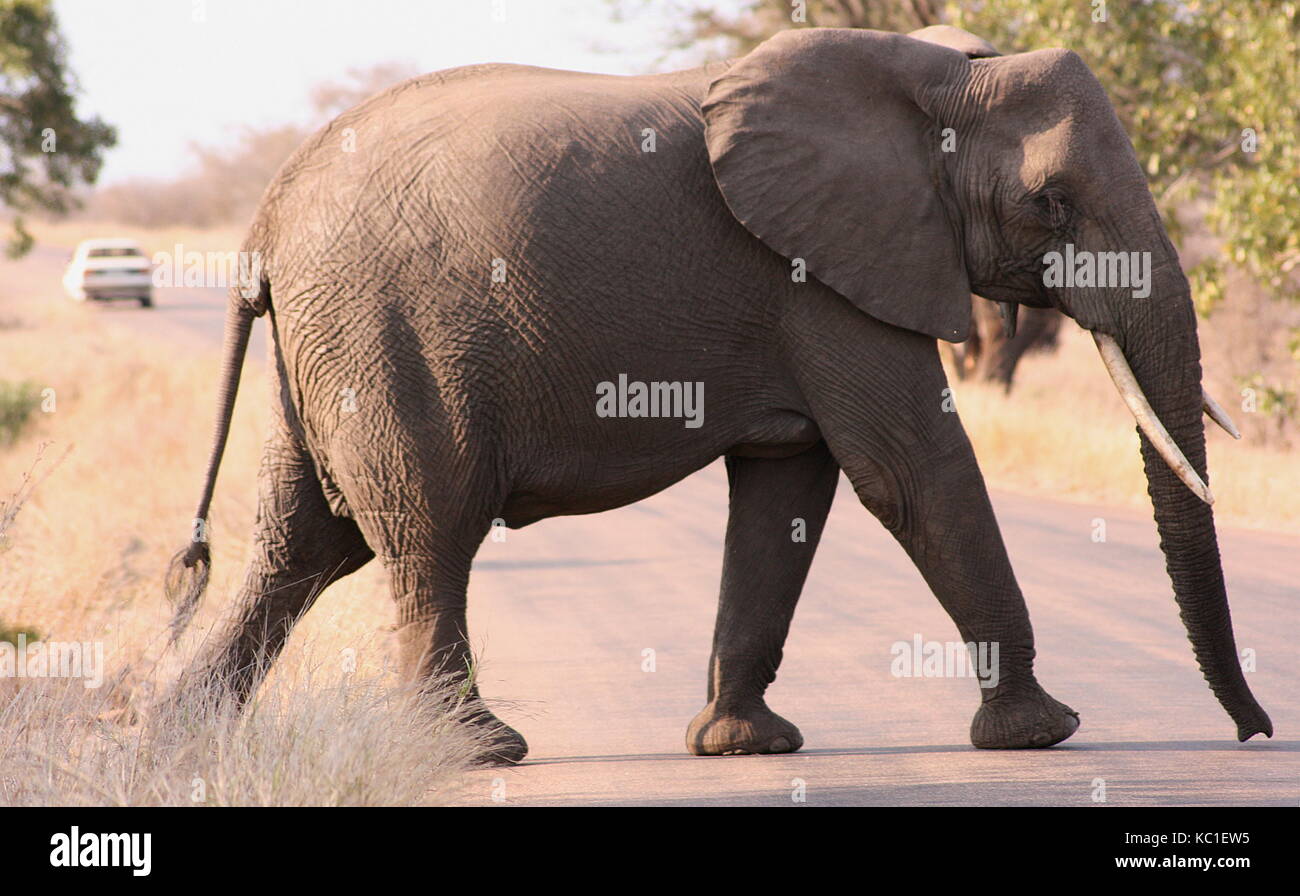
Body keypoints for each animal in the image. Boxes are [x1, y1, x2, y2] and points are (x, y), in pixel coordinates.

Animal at [167, 25, 1271, 764]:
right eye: (1052, 203)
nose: (1254, 731)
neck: (940, 75)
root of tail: (267, 216)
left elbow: (786, 490)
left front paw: (743, 745)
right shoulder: (822, 275)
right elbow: (910, 471)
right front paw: (1043, 733)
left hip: (327, 353)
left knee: (301, 547)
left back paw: (174, 739)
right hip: (385, 343)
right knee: (427, 529)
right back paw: (480, 752)